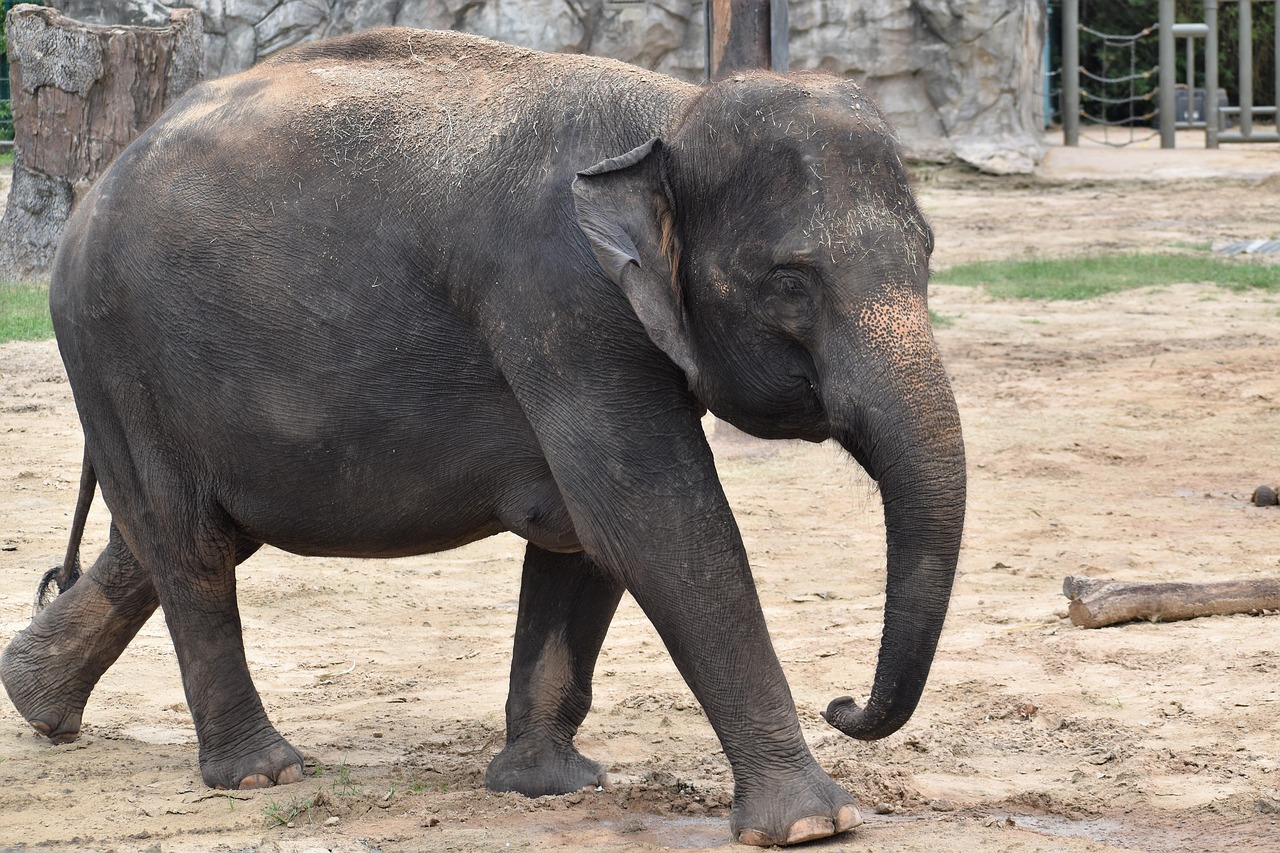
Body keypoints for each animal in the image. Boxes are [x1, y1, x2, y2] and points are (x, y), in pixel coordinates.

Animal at [0, 28, 965, 847]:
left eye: (926, 255)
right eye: (790, 283)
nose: (845, 704)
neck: (670, 115)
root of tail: (96, 189)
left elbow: (586, 534)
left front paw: (551, 785)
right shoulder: (560, 301)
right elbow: (652, 519)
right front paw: (815, 823)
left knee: (165, 540)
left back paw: (39, 702)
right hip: (115, 350)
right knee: (190, 545)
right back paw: (259, 775)